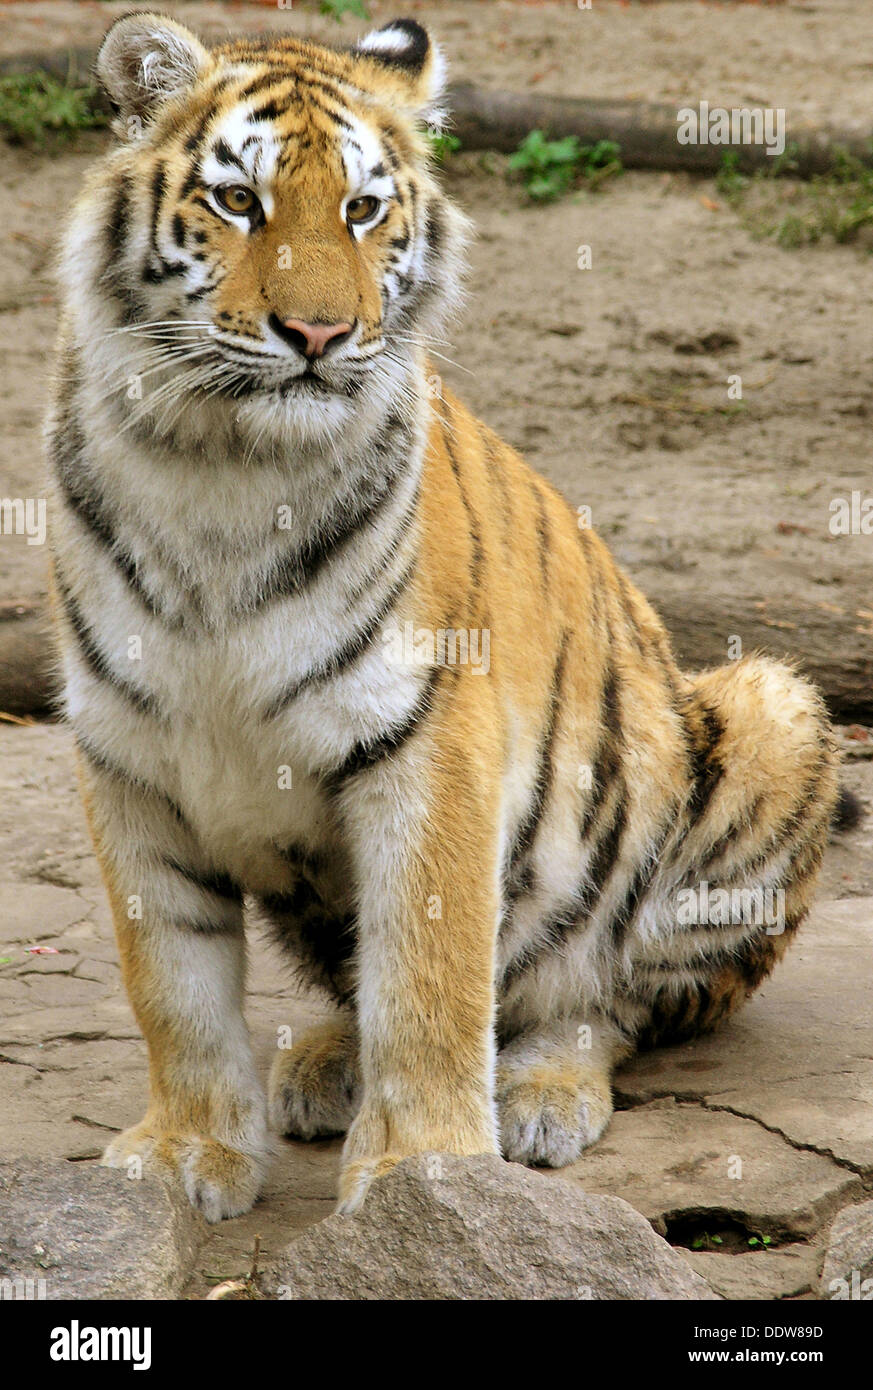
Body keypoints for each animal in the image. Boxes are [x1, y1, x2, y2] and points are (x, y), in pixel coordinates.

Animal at [46, 11, 841, 1222]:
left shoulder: (427, 734)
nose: (319, 333)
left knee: (602, 995)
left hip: (766, 712)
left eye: (363, 210)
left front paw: (421, 1175)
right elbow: (171, 981)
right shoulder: (126, 750)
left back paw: (542, 1092)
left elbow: (428, 976)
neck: (220, 466)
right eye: (238, 201)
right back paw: (326, 1062)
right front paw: (185, 1154)